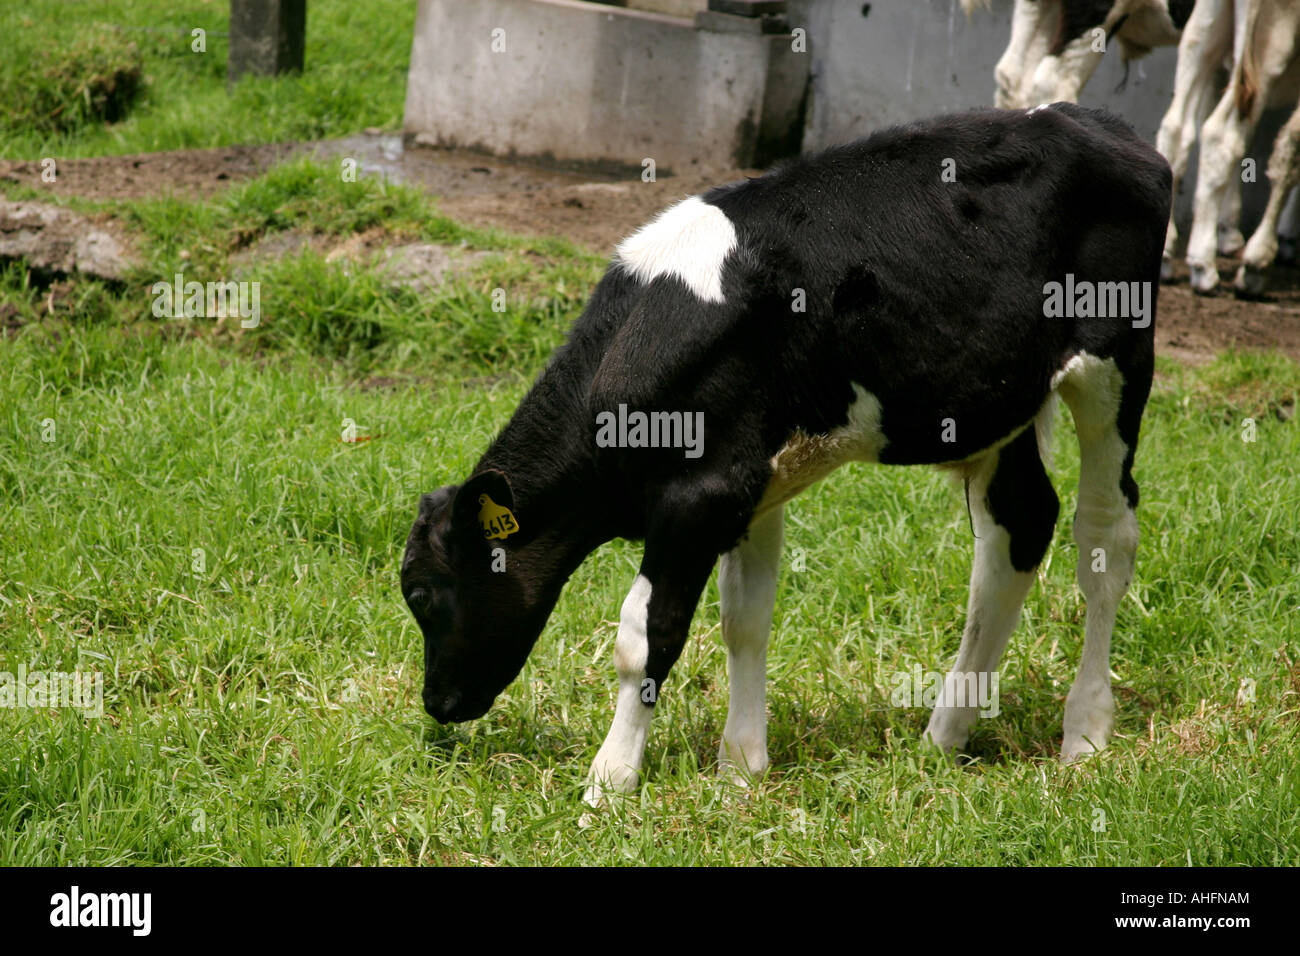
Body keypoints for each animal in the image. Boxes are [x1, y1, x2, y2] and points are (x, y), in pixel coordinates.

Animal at [401, 105, 1171, 807]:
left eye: (421, 595)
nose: (436, 704)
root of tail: (1092, 120)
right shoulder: (748, 483)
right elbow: (744, 619)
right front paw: (741, 767)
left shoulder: (698, 496)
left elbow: (644, 635)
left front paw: (610, 780)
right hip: (999, 408)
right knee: (1017, 529)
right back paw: (943, 735)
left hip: (1114, 360)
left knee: (1105, 535)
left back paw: (1086, 731)